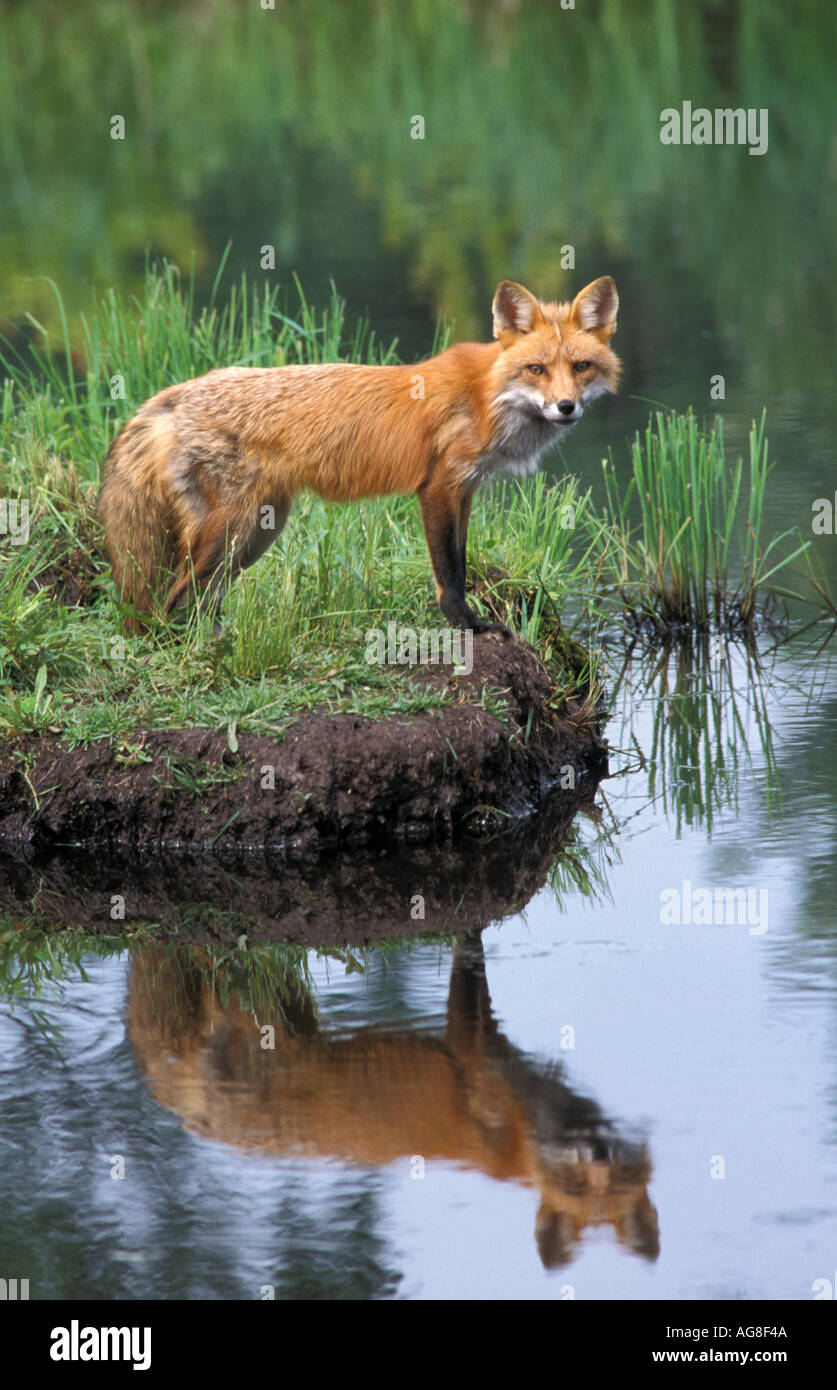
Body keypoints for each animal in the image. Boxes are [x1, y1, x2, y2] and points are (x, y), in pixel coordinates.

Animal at [98, 276, 620, 636]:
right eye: (536, 369)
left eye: (581, 367)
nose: (566, 406)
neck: (487, 396)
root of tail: (174, 394)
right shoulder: (438, 487)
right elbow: (450, 573)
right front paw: (467, 625)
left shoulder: (465, 490)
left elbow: (461, 557)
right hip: (232, 529)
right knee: (172, 598)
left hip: (259, 531)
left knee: (198, 596)